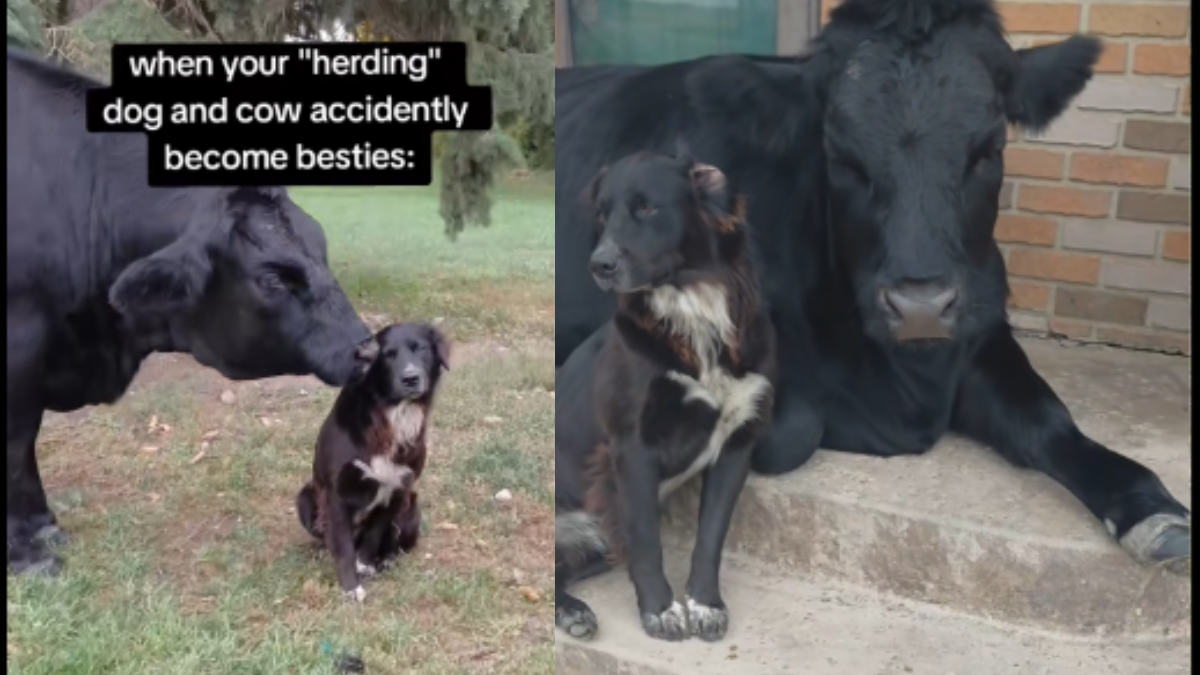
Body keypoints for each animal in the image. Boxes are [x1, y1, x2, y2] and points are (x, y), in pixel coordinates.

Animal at [7, 47, 374, 576]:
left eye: (321, 248)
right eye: (272, 279)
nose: (364, 350)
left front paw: (42, 525)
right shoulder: (19, 344)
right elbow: (17, 443)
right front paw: (26, 552)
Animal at [554, 0, 1191, 619]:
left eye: (988, 151)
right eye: (843, 160)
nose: (920, 306)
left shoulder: (981, 329)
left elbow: (1045, 417)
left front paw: (1150, 508)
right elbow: (794, 428)